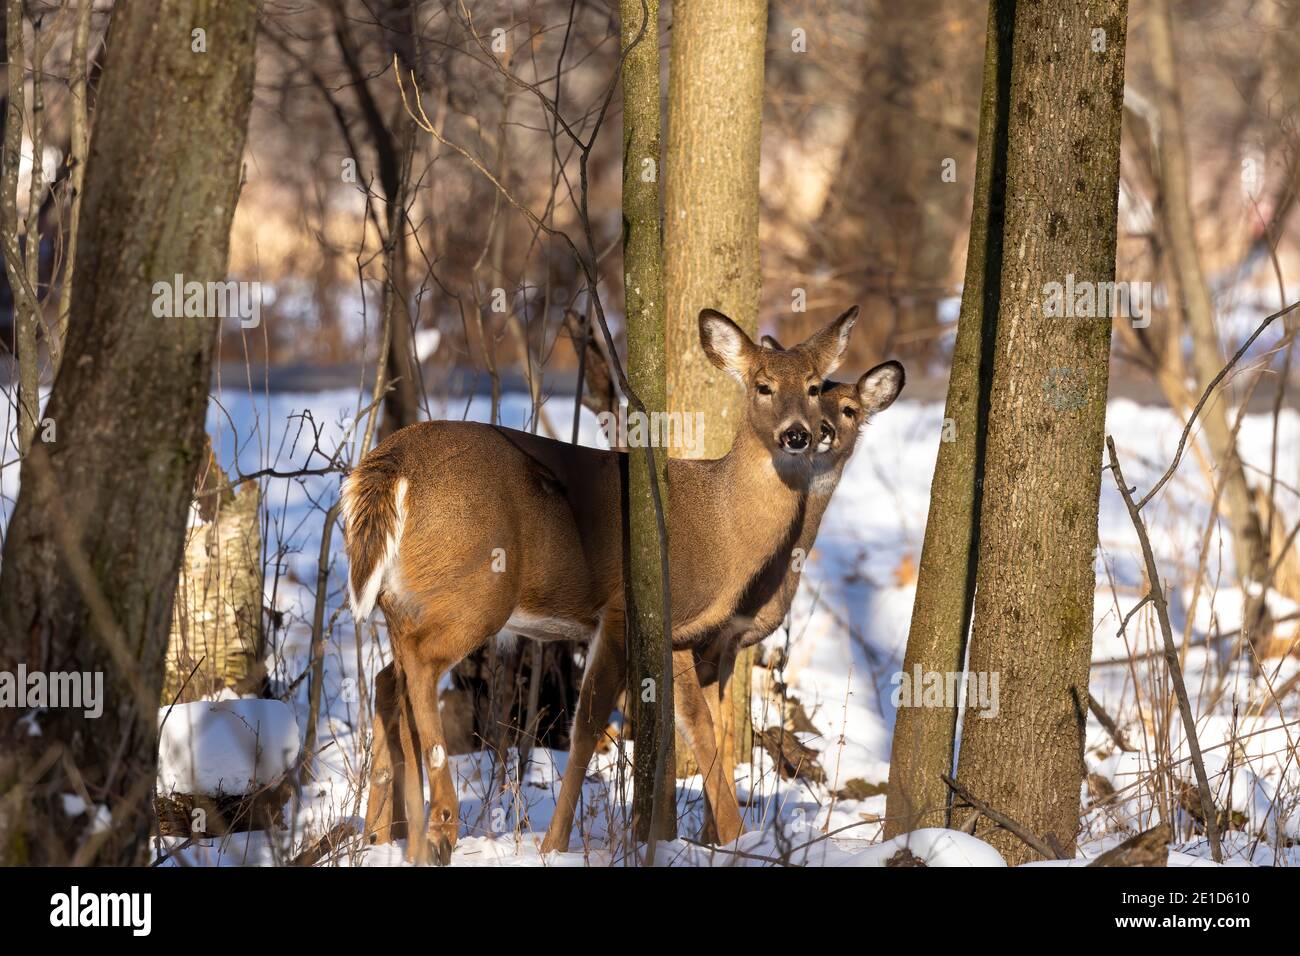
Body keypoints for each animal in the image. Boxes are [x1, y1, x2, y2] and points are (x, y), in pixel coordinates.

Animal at [343, 306, 864, 864]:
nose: (799, 435)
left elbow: (698, 725)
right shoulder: (622, 608)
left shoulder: (676, 633)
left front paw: (729, 836)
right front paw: (555, 844)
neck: (719, 526)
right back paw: (440, 821)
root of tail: (389, 464)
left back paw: (385, 837)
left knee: (387, 679)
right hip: (477, 590)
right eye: (763, 386)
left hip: (406, 598)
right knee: (417, 665)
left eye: (813, 386)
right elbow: (591, 725)